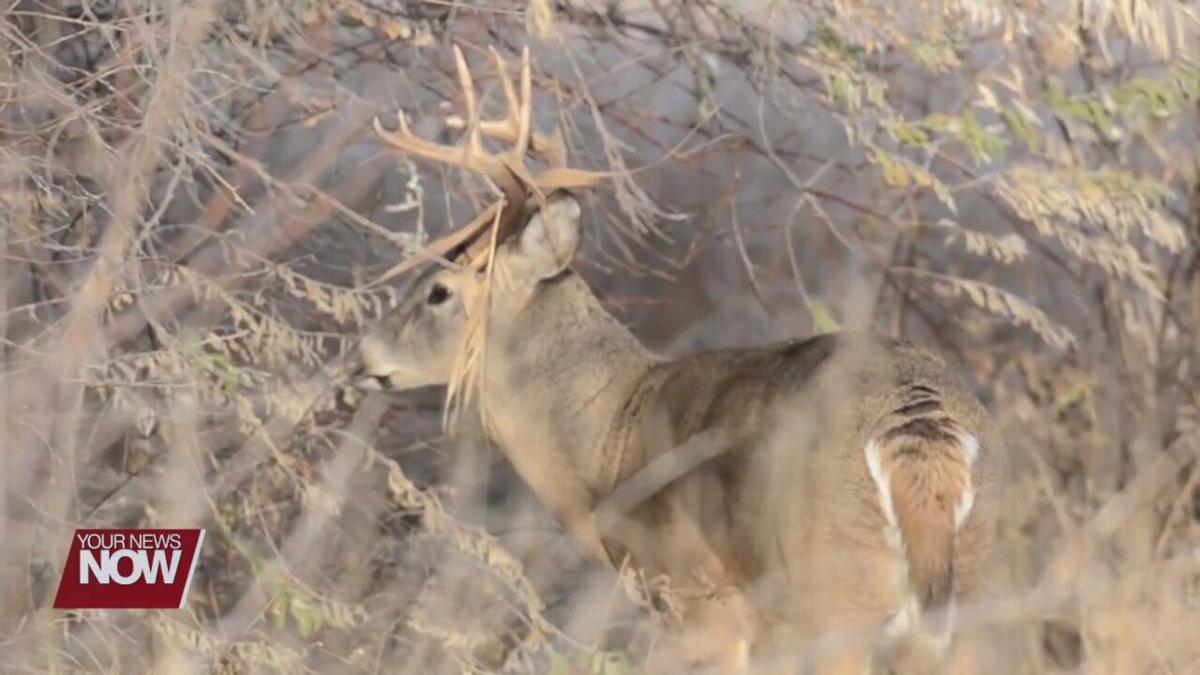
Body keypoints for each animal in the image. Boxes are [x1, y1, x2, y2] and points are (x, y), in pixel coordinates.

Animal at [357, 46, 998, 674]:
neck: (607, 437)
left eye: (439, 291)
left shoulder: (692, 596)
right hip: (977, 603)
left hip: (832, 595)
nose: (365, 352)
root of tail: (920, 431)